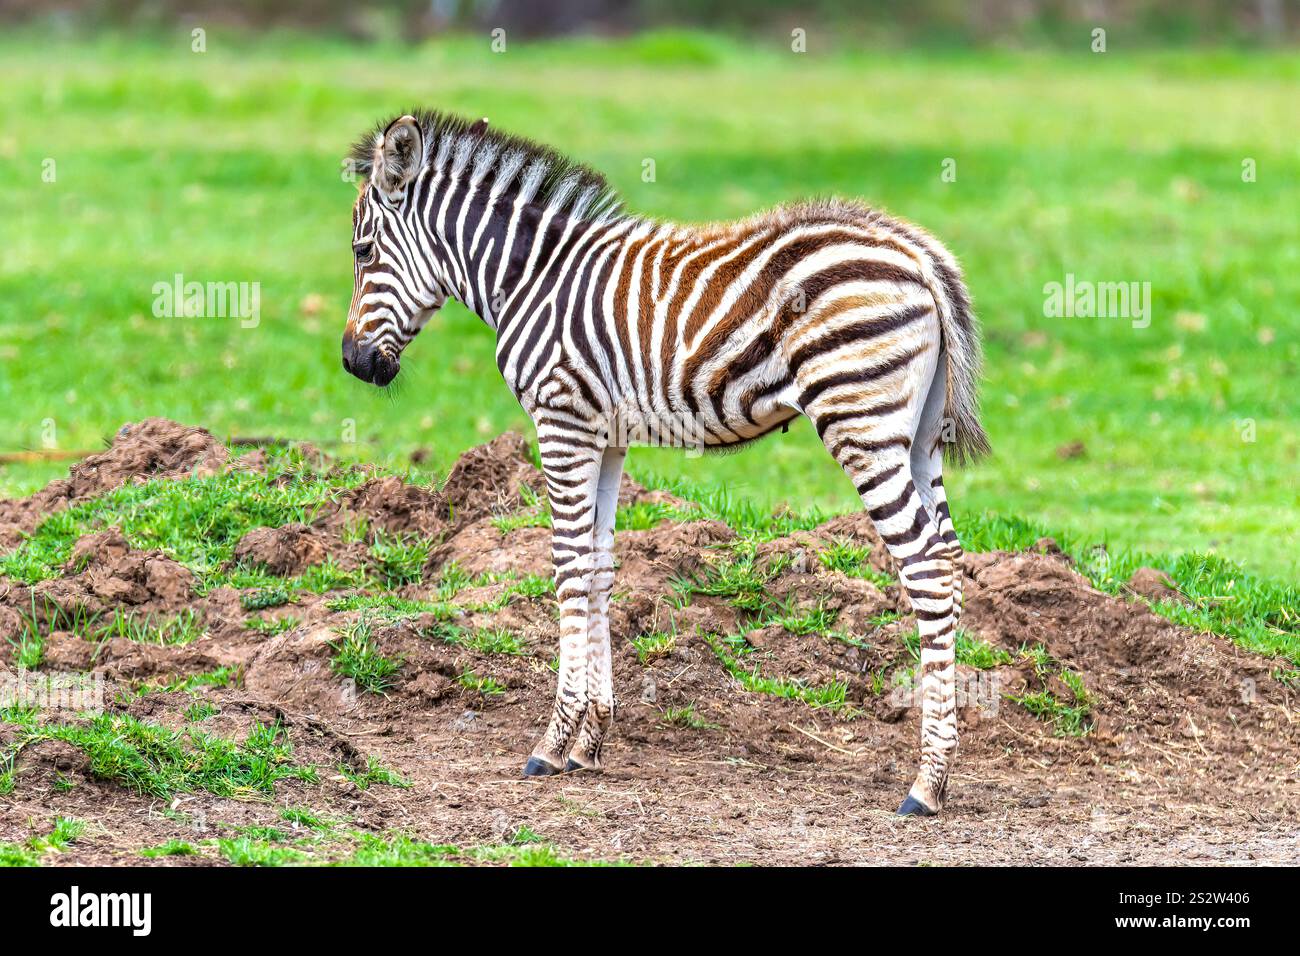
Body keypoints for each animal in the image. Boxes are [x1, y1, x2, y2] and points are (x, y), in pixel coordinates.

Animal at [342, 111, 989, 816]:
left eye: (362, 252)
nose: (353, 365)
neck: (530, 278)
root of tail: (916, 254)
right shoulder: (606, 437)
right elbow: (599, 567)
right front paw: (588, 743)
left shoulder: (562, 422)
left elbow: (568, 568)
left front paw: (550, 743)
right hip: (919, 436)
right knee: (950, 557)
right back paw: (942, 769)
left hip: (860, 422)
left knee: (925, 566)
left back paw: (926, 784)